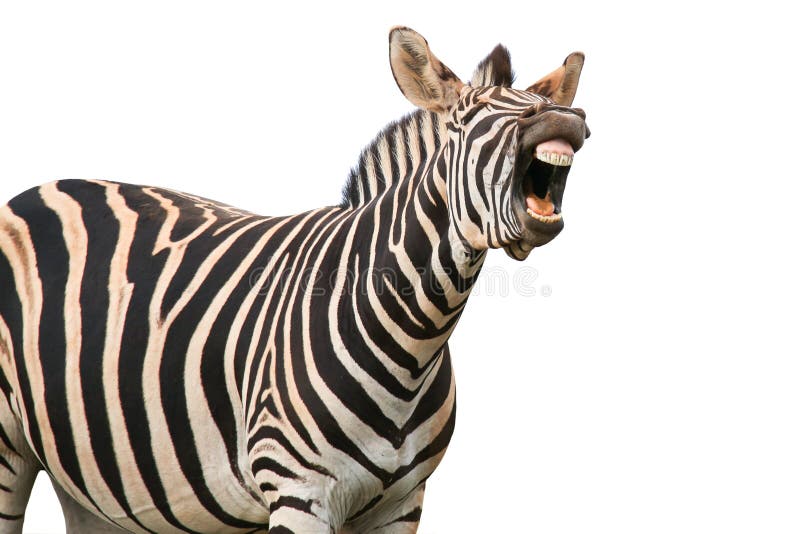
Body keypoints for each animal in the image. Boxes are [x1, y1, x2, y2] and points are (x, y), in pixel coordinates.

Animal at [0, 26, 589, 533]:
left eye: (542, 106)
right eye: (468, 120)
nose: (564, 117)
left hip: (93, 487)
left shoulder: (402, 504)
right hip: (8, 448)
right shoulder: (297, 492)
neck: (413, 341)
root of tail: (39, 190)